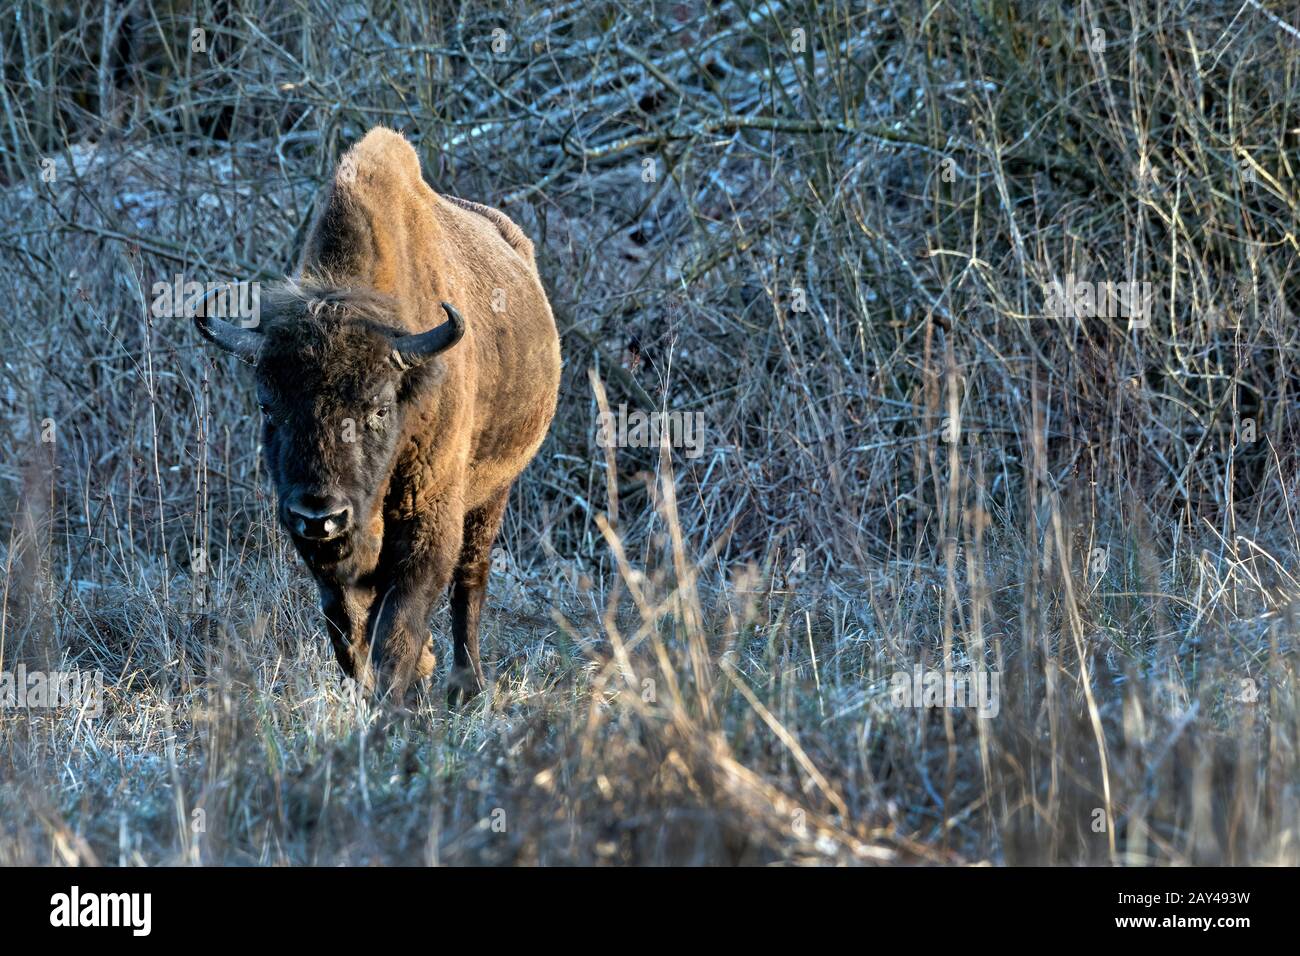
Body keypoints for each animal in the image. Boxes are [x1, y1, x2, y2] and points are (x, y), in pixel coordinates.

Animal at [194, 127, 561, 703]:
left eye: (379, 407)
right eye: (267, 405)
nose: (319, 515)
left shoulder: (428, 516)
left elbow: (400, 622)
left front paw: (399, 696)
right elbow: (346, 621)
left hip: (494, 492)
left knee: (470, 580)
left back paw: (467, 685)